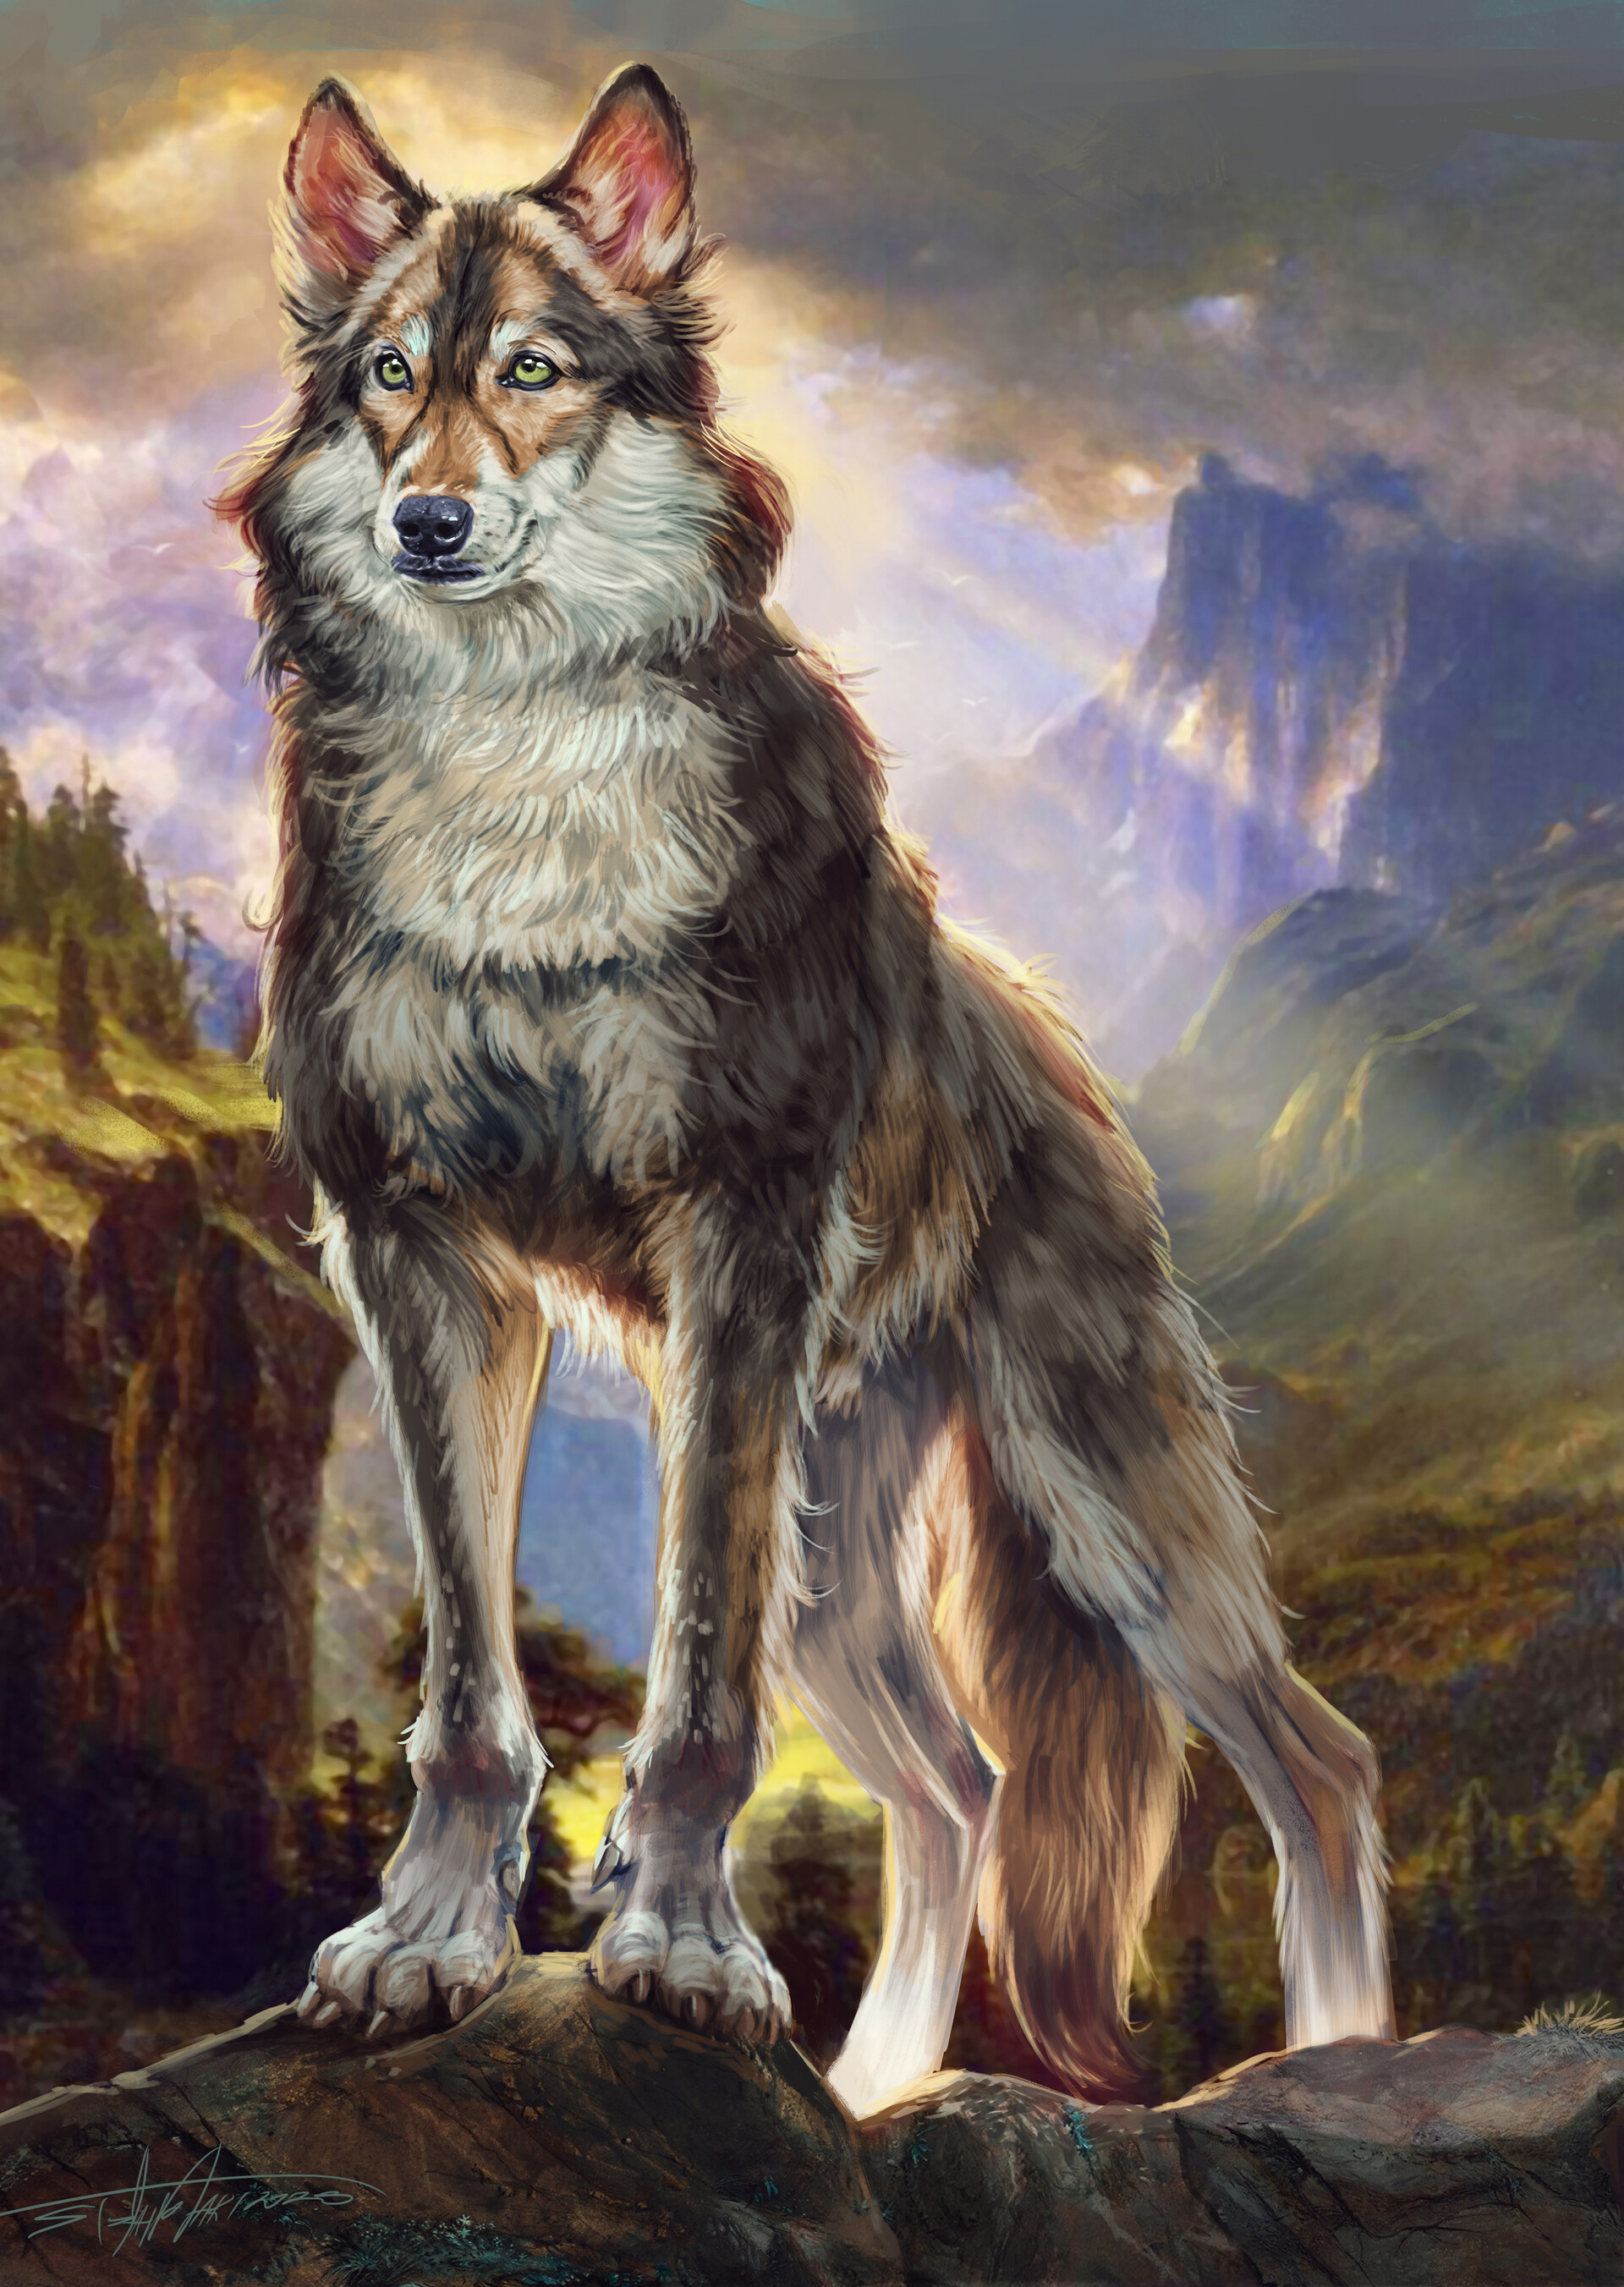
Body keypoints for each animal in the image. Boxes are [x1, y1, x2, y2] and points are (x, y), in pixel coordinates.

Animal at [219, 62, 1394, 2116]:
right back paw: (868, 2096)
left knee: (1312, 1763)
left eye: (533, 369)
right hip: (849, 1571)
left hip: (1104, 1513)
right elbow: (470, 1692)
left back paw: (1332, 2061)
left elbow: (692, 1685)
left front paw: (682, 1951)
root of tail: (1059, 1059)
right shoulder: (421, 1255)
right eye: (385, 375)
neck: (521, 754)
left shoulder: (739, 1240)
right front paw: (429, 1944)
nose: (429, 520)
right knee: (961, 1793)